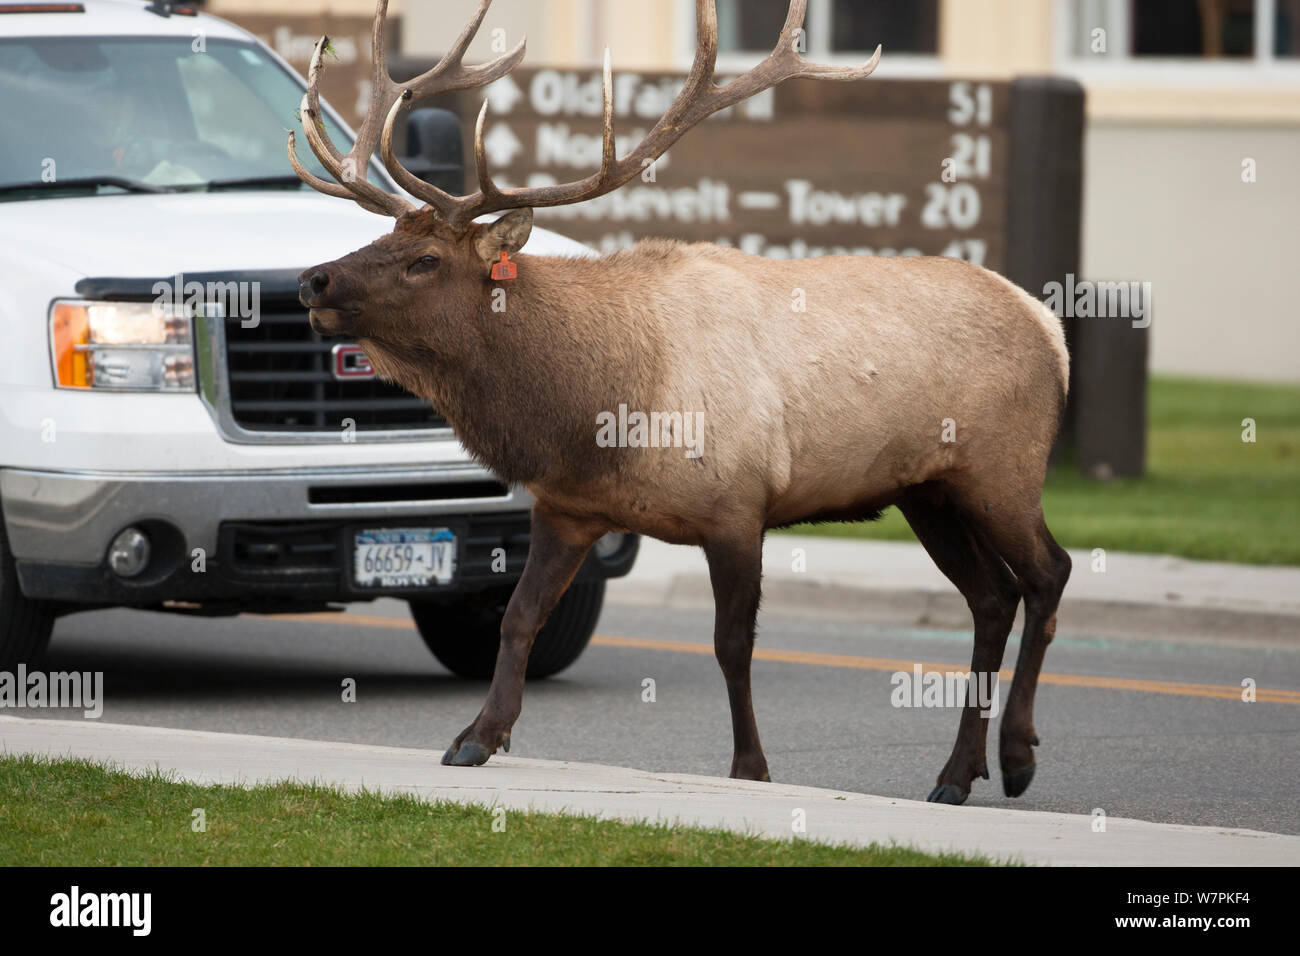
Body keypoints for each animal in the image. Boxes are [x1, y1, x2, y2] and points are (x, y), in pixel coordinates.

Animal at [290, 0, 1072, 806]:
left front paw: (751, 768)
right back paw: (956, 774)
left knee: (1049, 574)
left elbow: (732, 646)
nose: (313, 280)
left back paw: (1017, 756)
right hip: (928, 490)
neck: (597, 414)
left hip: (1001, 467)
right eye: (385, 234)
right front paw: (477, 736)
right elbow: (519, 617)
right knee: (992, 598)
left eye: (426, 260)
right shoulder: (566, 507)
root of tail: (1049, 325)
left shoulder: (738, 507)